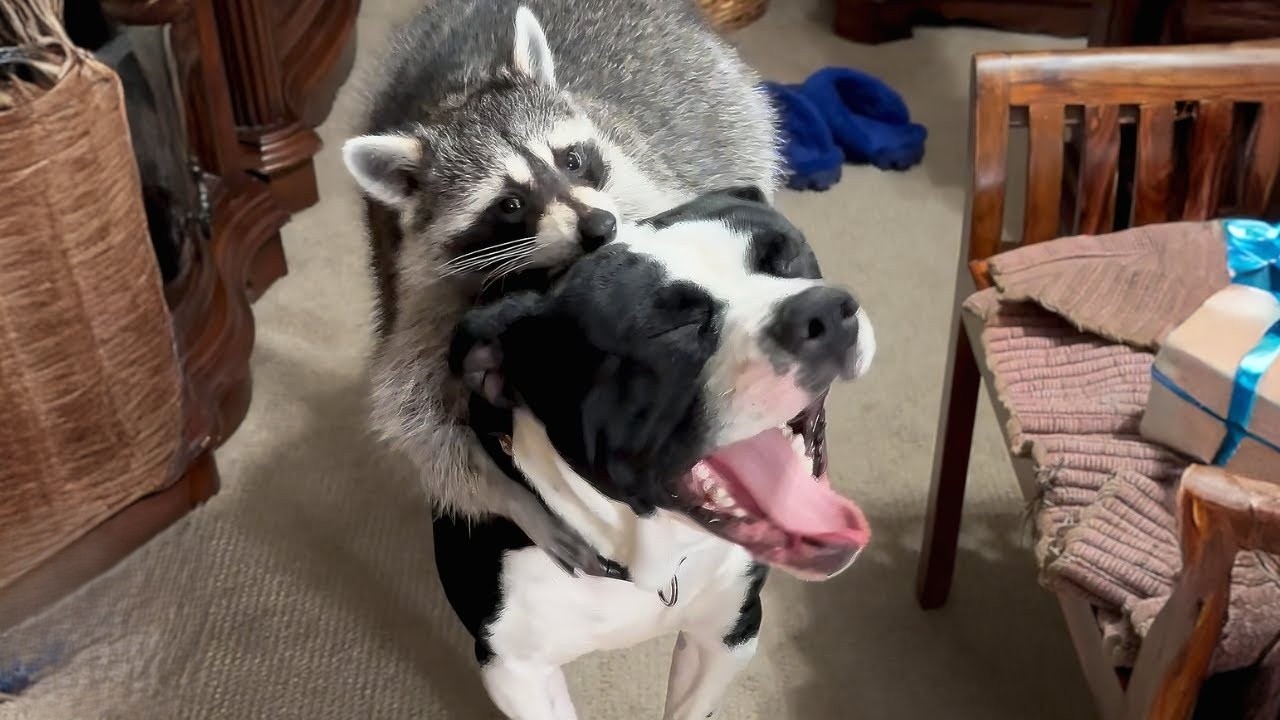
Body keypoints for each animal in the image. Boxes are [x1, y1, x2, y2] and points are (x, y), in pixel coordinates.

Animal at [342, 0, 780, 572]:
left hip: (733, 106)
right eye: (509, 203)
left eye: (570, 159)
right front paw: (517, 501)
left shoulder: (640, 188)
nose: (599, 227)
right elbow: (416, 419)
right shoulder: (428, 290)